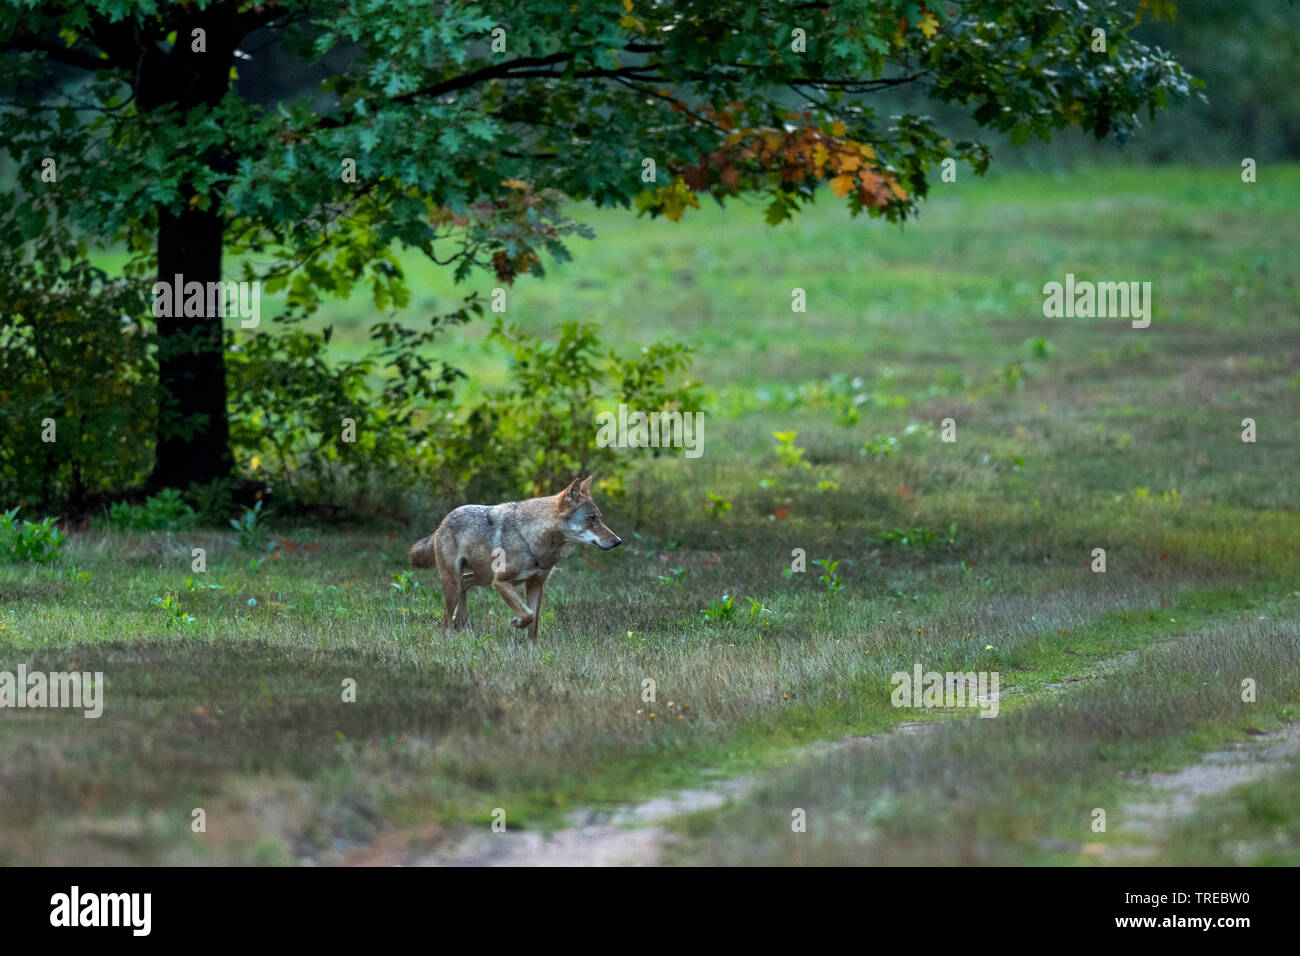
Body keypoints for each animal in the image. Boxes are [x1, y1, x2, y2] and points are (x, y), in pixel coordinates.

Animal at [409, 476, 621, 643]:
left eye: (600, 518)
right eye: (592, 519)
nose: (618, 541)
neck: (532, 539)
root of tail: (443, 521)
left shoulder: (535, 584)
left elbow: (534, 624)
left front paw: (532, 653)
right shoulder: (501, 582)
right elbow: (527, 615)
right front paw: (517, 622)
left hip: (481, 578)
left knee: (465, 585)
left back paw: (460, 619)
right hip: (457, 582)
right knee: (445, 618)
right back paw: (450, 640)